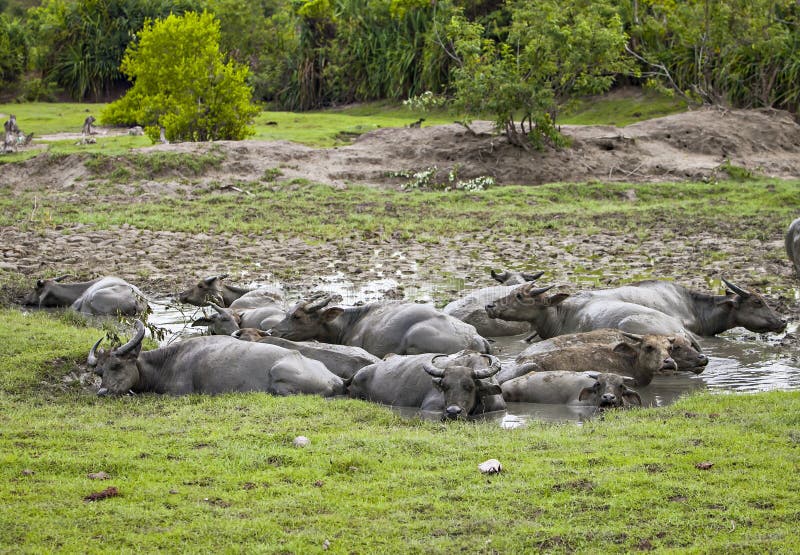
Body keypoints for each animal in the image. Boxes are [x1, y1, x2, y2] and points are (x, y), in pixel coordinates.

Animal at [87, 320, 344, 397]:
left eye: (117, 365)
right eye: (99, 371)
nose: (102, 392)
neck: (167, 363)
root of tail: (335, 380)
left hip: (279, 376)